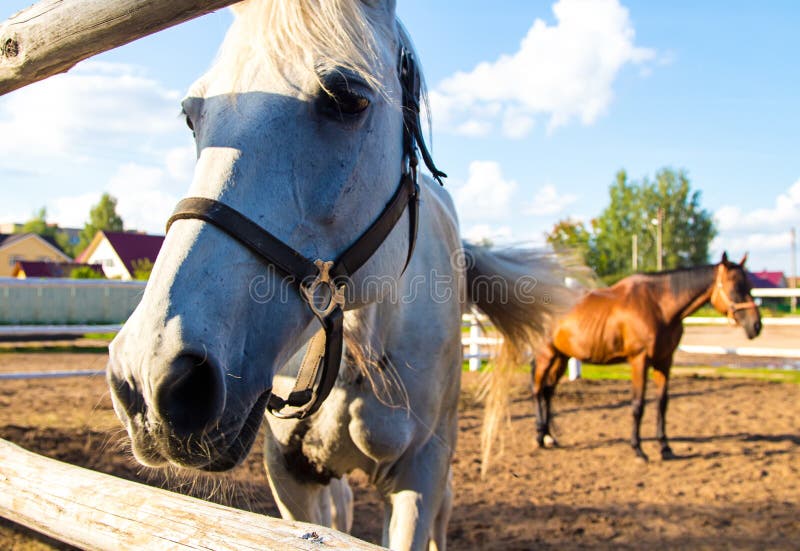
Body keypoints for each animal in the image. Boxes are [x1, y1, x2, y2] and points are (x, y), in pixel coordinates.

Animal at [105, 1, 573, 549]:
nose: (149, 377)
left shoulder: (419, 476)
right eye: (190, 115)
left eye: (347, 100)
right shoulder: (291, 475)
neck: (358, 348)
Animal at [532, 252, 762, 461]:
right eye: (734, 287)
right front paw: (638, 449)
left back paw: (549, 437)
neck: (659, 306)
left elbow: (662, 404)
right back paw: (540, 438)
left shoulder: (664, 361)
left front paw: (665, 447)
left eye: (749, 286)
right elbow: (638, 405)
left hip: (561, 357)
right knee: (537, 390)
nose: (756, 326)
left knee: (548, 391)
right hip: (546, 356)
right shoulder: (639, 360)